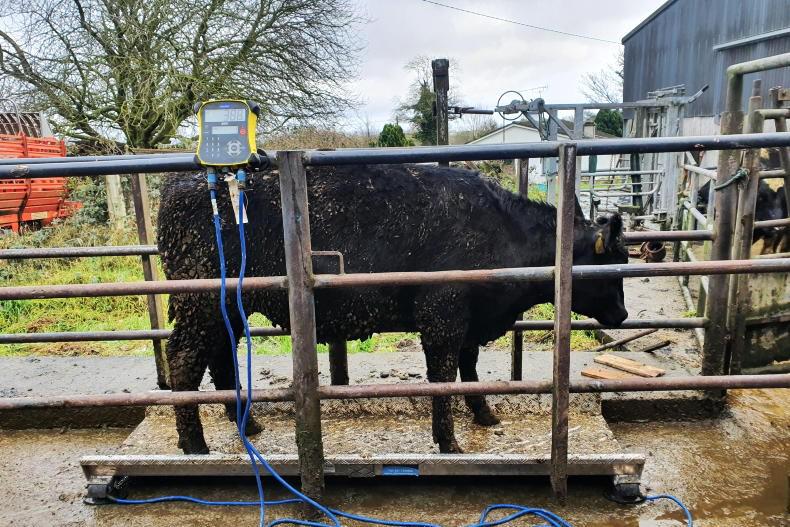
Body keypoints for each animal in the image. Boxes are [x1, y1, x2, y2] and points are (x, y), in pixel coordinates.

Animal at [157, 164, 628, 455]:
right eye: (611, 266)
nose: (623, 316)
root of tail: (181, 183)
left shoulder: (469, 323)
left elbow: (469, 369)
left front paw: (484, 414)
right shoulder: (442, 316)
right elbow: (443, 377)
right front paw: (448, 441)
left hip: (224, 308)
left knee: (221, 356)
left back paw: (247, 425)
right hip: (199, 303)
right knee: (184, 360)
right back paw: (195, 445)